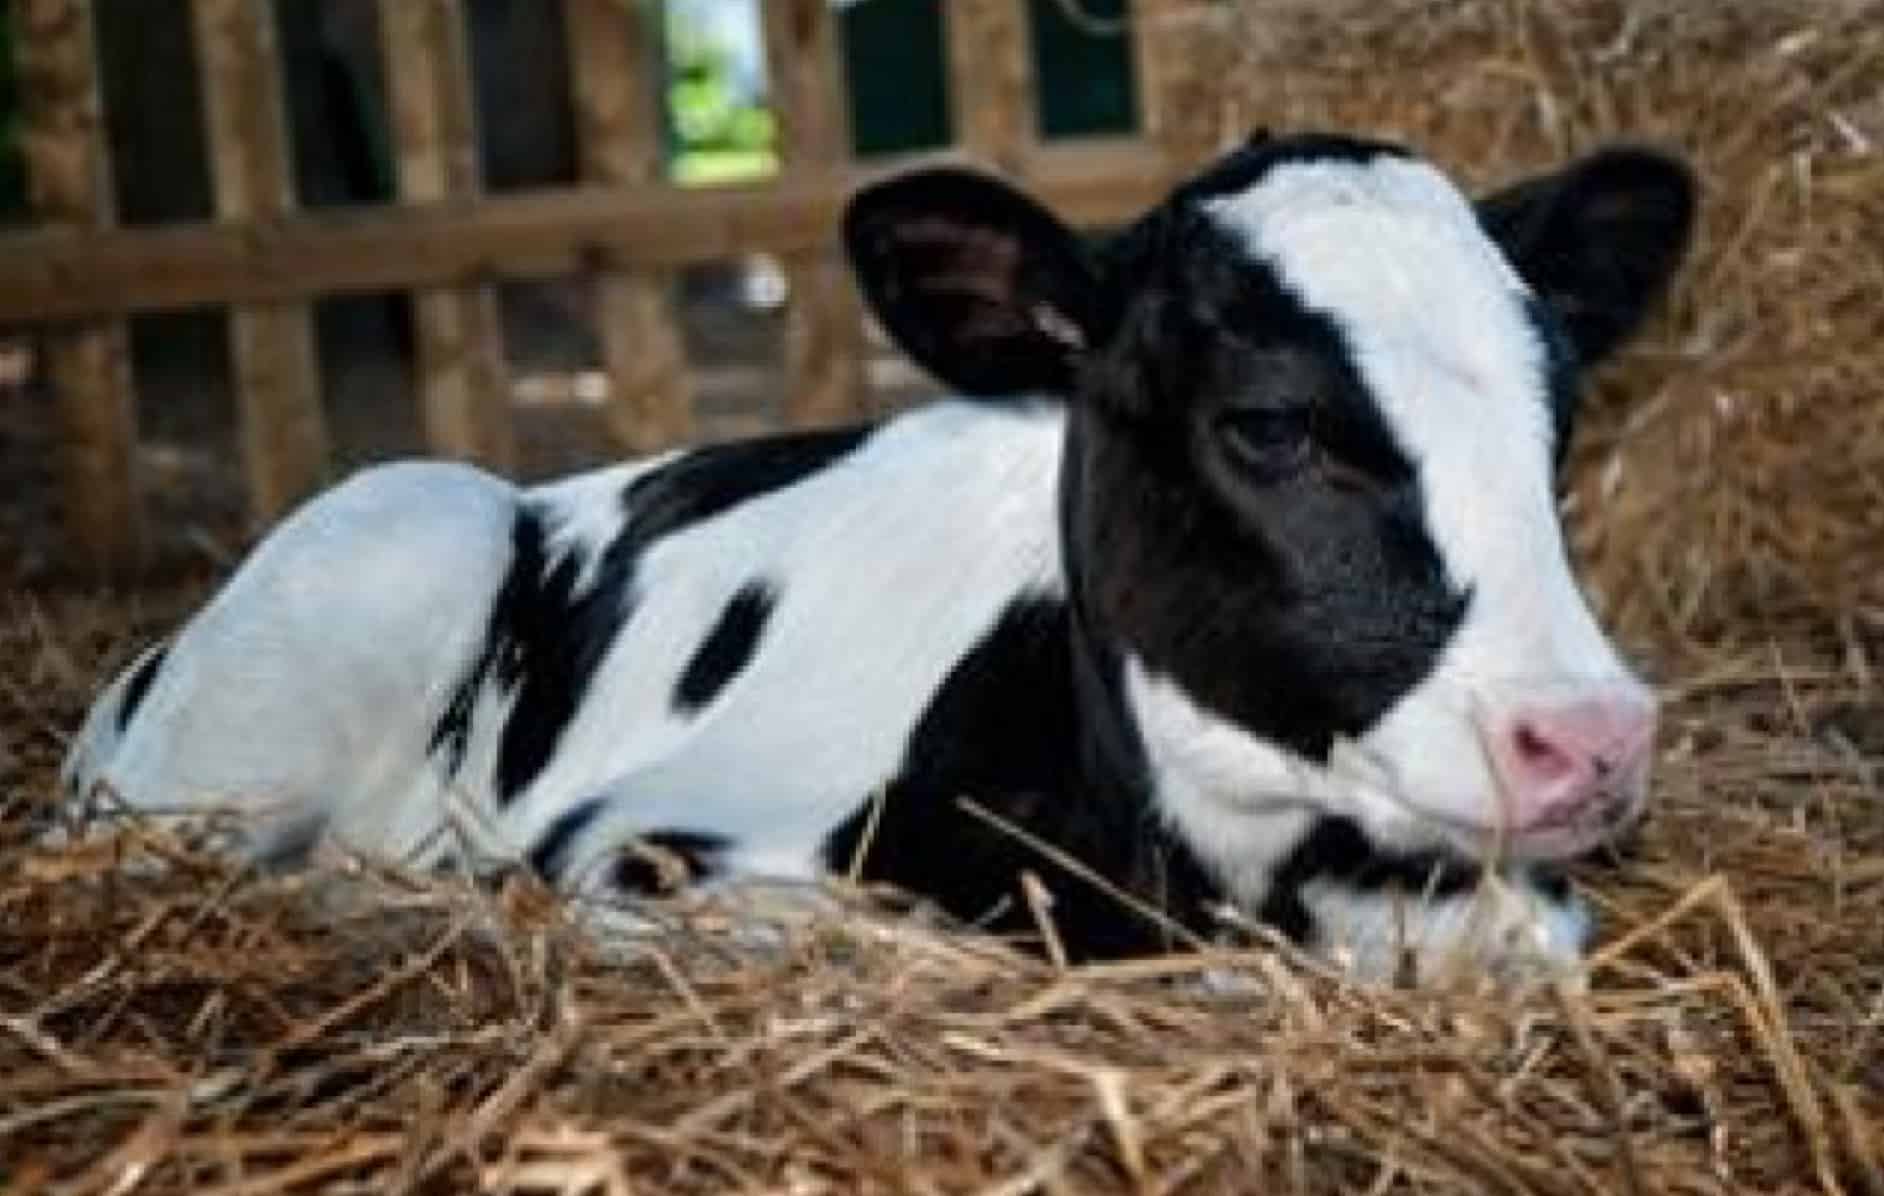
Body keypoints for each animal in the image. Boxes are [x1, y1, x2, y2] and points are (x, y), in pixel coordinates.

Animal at [61, 129, 1696, 983]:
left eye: (1559, 407)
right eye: (1274, 423)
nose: (1593, 739)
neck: (1201, 862)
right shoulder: (644, 852)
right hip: (381, 551)